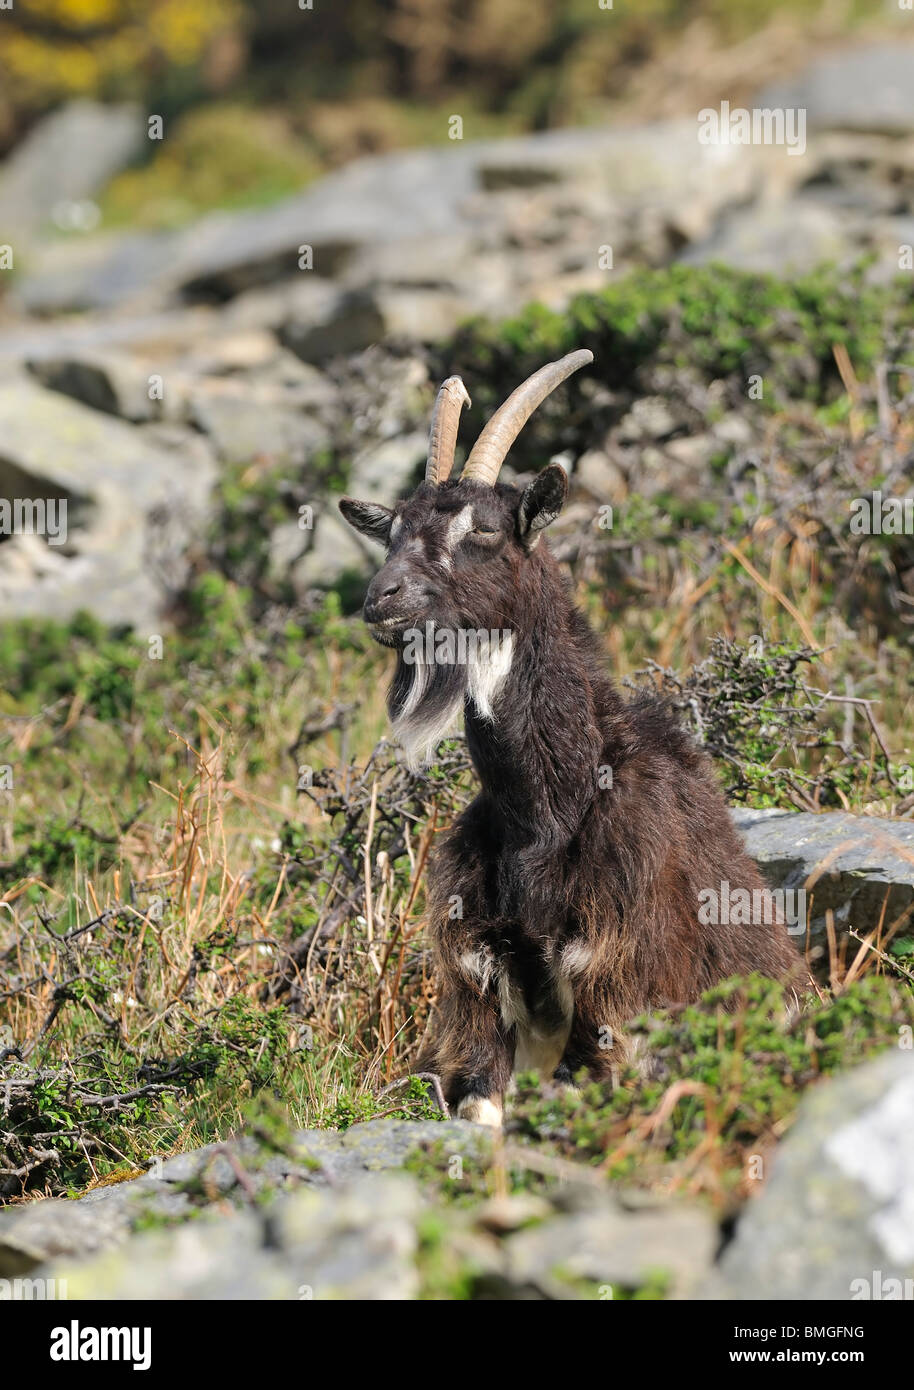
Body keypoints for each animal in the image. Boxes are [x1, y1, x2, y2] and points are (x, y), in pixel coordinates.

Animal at [339, 350, 800, 1126]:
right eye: (393, 529)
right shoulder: (479, 993)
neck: (548, 809)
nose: (381, 599)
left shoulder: (617, 989)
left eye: (484, 531)